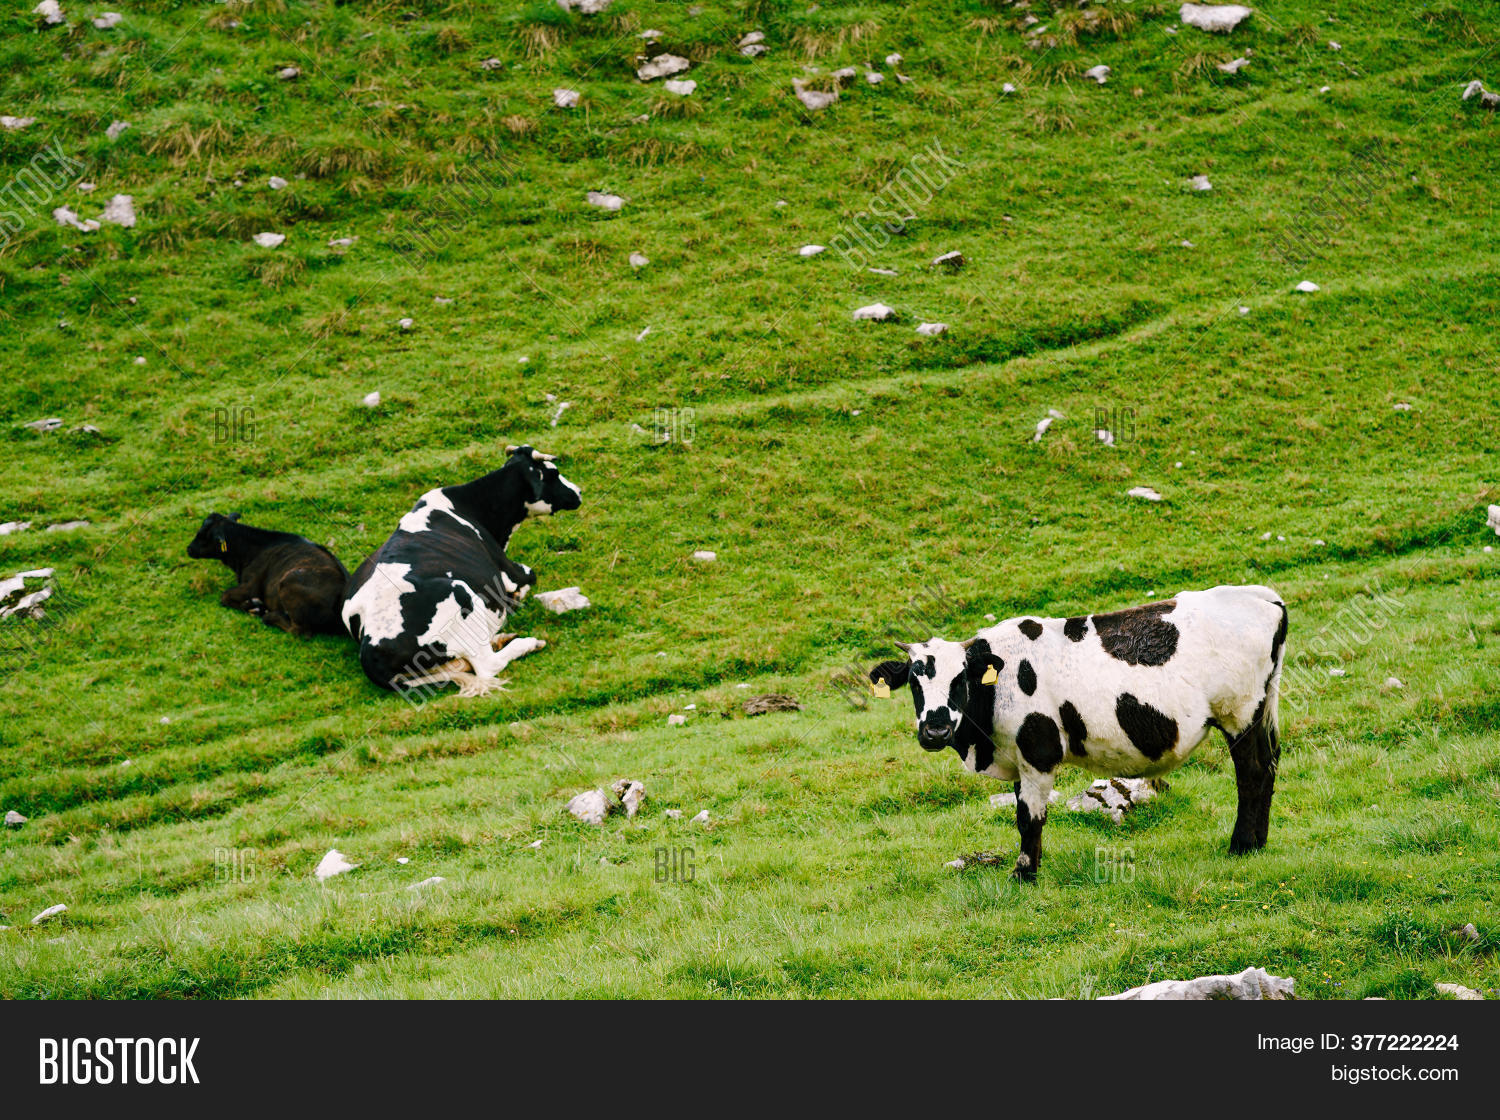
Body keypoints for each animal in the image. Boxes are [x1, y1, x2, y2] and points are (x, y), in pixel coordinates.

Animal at [186, 512, 349, 636]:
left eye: (202, 534)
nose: (189, 548)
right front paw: (254, 606)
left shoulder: (251, 586)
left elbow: (224, 596)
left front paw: (255, 607)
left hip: (288, 583)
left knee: (299, 631)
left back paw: (270, 616)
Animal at [342, 445, 582, 696]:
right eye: (554, 473)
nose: (578, 492)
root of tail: (369, 648)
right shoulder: (512, 573)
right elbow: (528, 578)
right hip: (459, 592)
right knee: (488, 665)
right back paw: (528, 643)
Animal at [869, 585, 1288, 881]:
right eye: (914, 682)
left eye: (959, 679)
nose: (935, 729)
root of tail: (1259, 594)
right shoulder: (1019, 757)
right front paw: (1030, 866)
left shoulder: (1038, 752)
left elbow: (1029, 816)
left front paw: (1024, 873)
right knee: (1268, 767)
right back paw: (1259, 842)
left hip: (1240, 713)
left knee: (1252, 773)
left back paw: (1242, 845)